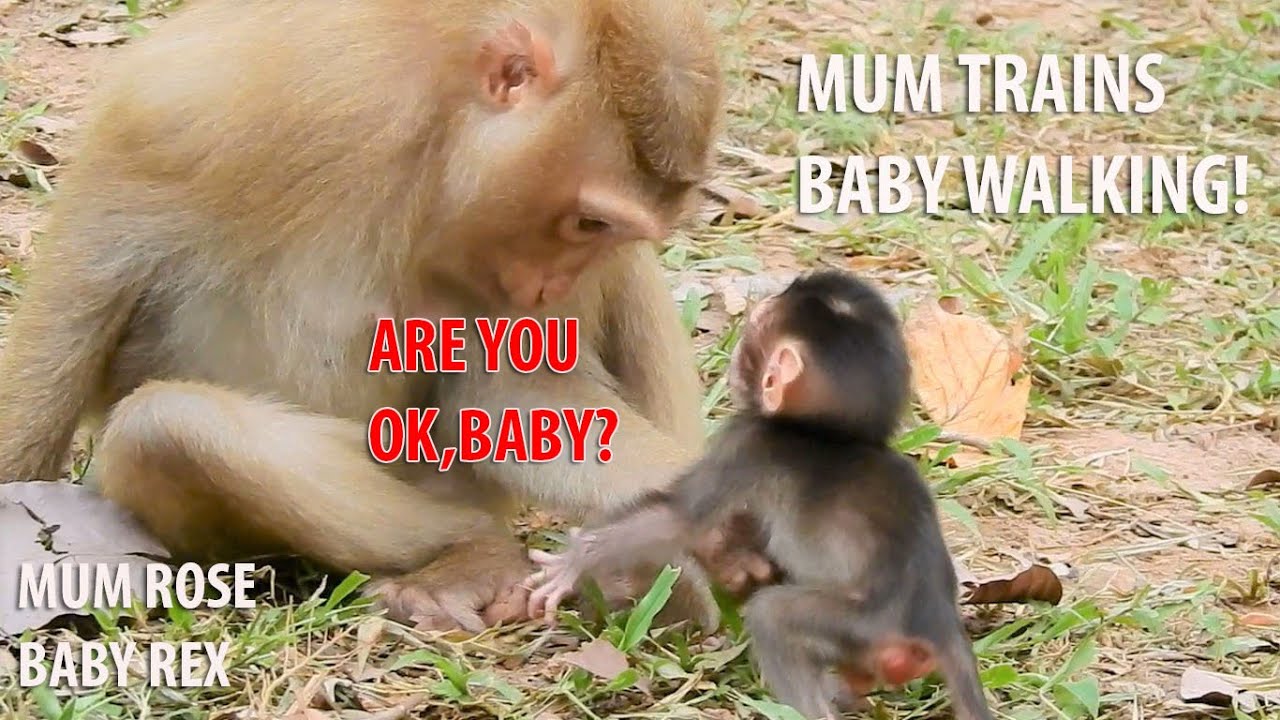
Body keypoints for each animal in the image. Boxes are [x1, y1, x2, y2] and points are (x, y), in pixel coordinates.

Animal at [0, 0, 776, 633]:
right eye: (590, 221)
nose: (553, 286)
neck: (431, 124)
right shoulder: (181, 112)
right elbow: (77, 306)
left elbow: (514, 393)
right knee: (166, 429)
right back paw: (472, 551)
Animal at [524, 270, 993, 720]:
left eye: (756, 330)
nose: (737, 349)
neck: (830, 433)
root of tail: (937, 624)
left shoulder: (749, 441)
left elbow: (679, 519)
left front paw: (575, 562)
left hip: (860, 623)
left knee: (773, 616)